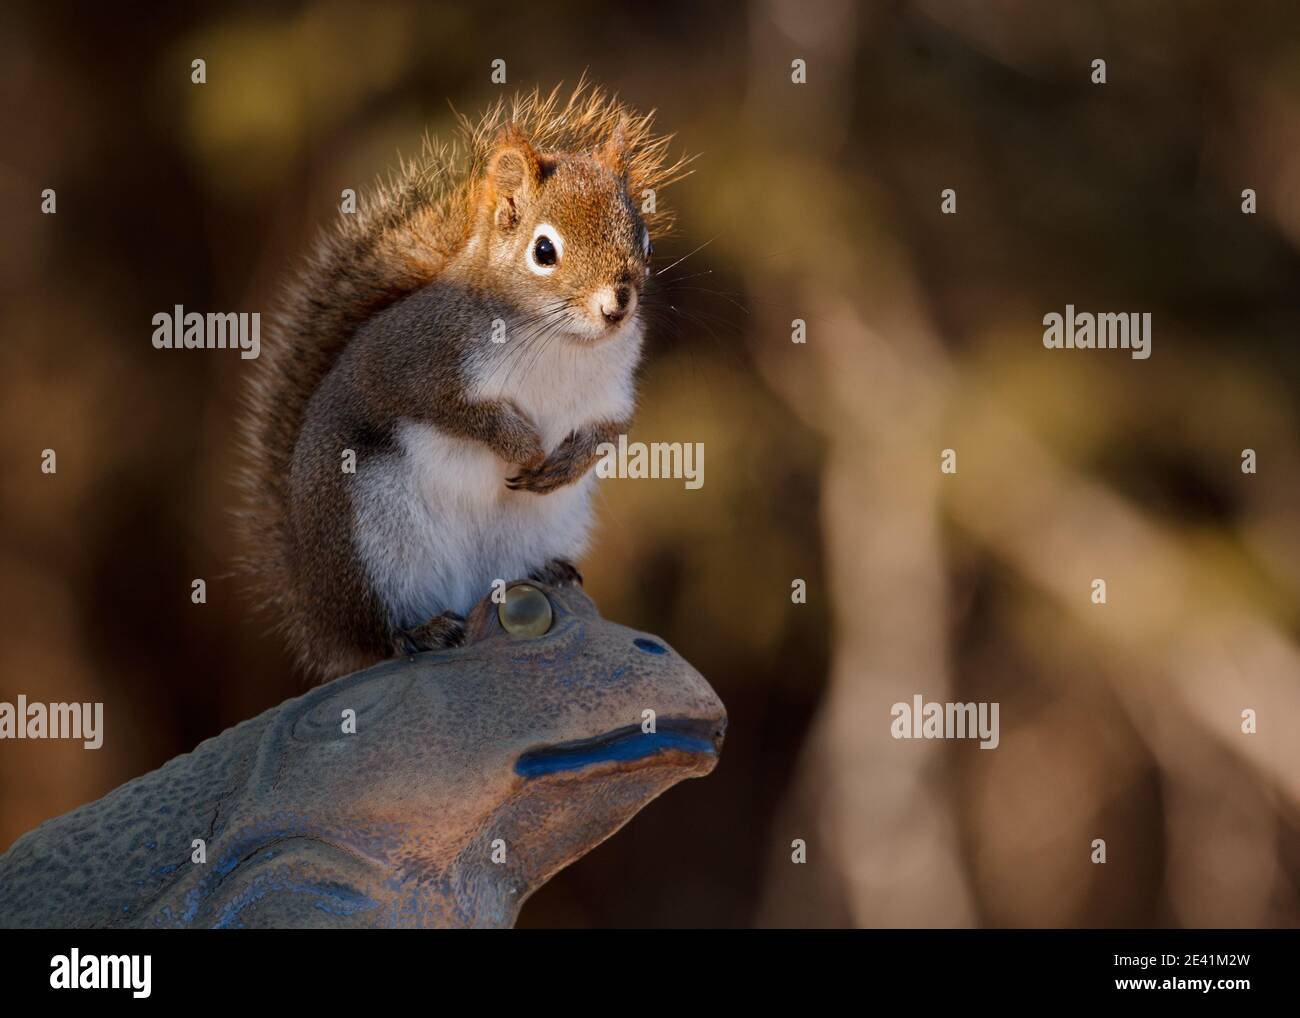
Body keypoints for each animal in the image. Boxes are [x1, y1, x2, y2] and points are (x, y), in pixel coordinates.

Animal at [237, 83, 691, 680]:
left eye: (645, 241)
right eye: (544, 251)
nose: (618, 306)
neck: (561, 343)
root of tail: (316, 613)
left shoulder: (612, 394)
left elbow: (609, 434)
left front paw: (561, 465)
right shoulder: (420, 363)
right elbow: (456, 412)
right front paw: (521, 445)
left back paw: (543, 573)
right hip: (369, 541)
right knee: (377, 634)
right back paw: (417, 632)